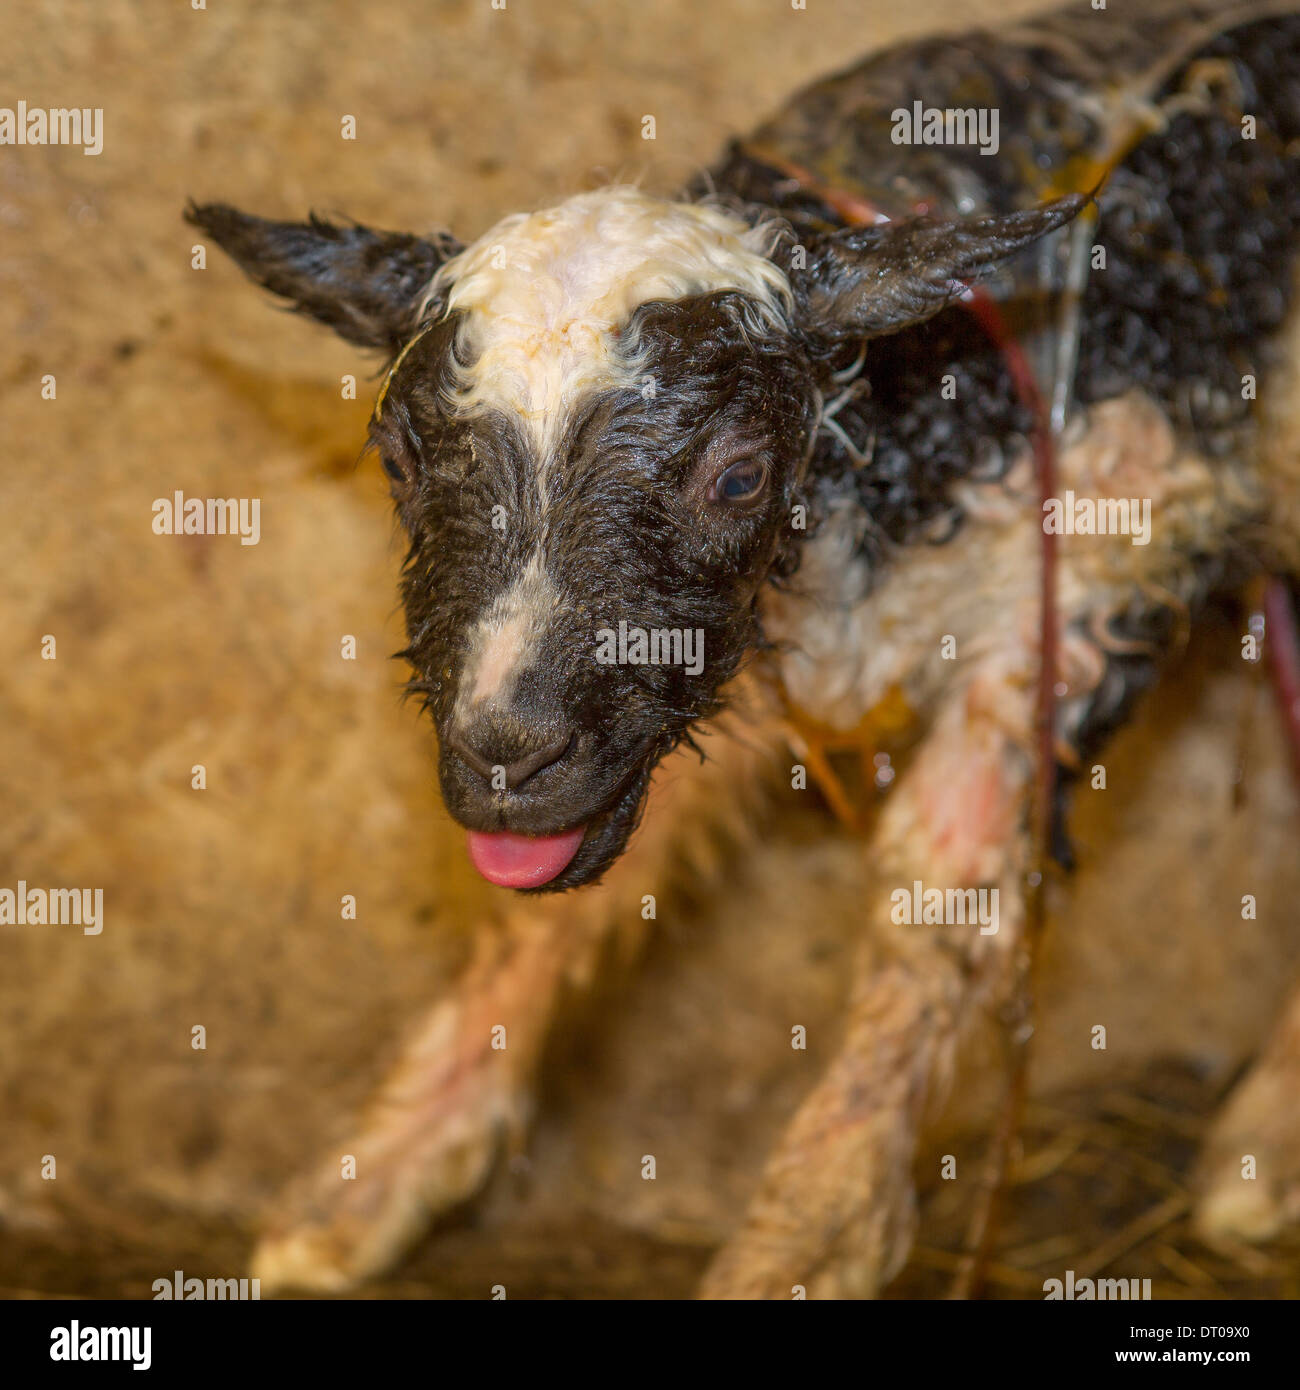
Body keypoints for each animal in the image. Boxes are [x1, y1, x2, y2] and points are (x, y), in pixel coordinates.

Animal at [185, 0, 1300, 1296]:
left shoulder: (1098, 561)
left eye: (736, 476)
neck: (898, 431)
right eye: (402, 462)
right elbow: (571, 896)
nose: (505, 756)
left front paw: (808, 1237)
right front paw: (367, 1183)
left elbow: (939, 889)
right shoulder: (655, 693)